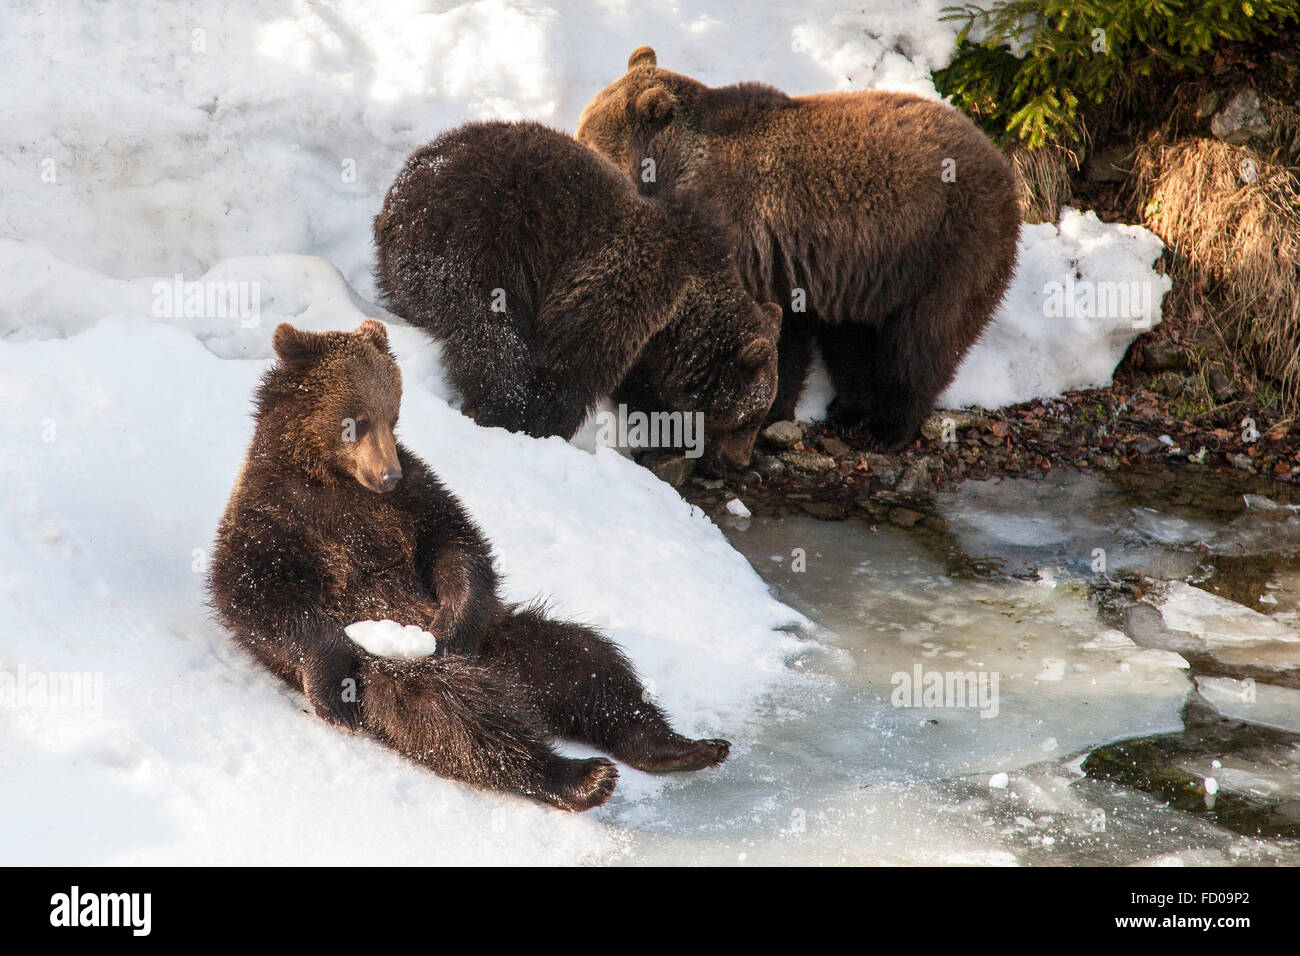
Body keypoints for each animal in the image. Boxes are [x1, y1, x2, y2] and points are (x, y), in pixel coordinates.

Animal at [207, 319, 730, 811]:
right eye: (357, 421)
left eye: (393, 416)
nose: (388, 474)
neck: (330, 477)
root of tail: (510, 677)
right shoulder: (276, 518)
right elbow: (259, 600)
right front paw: (331, 689)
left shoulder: (413, 499)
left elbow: (455, 544)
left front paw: (452, 621)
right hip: (394, 667)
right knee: (457, 712)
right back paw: (580, 775)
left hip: (500, 634)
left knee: (586, 660)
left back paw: (681, 746)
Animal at [373, 120, 781, 469]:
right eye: (749, 417)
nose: (740, 460)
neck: (679, 317)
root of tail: (399, 189)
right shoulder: (625, 282)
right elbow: (575, 356)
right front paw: (545, 418)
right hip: (485, 228)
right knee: (486, 326)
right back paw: (498, 404)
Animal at [576, 47, 1022, 451]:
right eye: (582, 126)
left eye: (588, 136)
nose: (574, 145)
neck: (674, 171)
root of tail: (1003, 167)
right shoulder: (789, 264)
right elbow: (790, 334)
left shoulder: (742, 236)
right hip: (867, 269)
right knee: (852, 337)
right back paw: (850, 410)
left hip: (950, 247)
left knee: (923, 341)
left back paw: (888, 429)